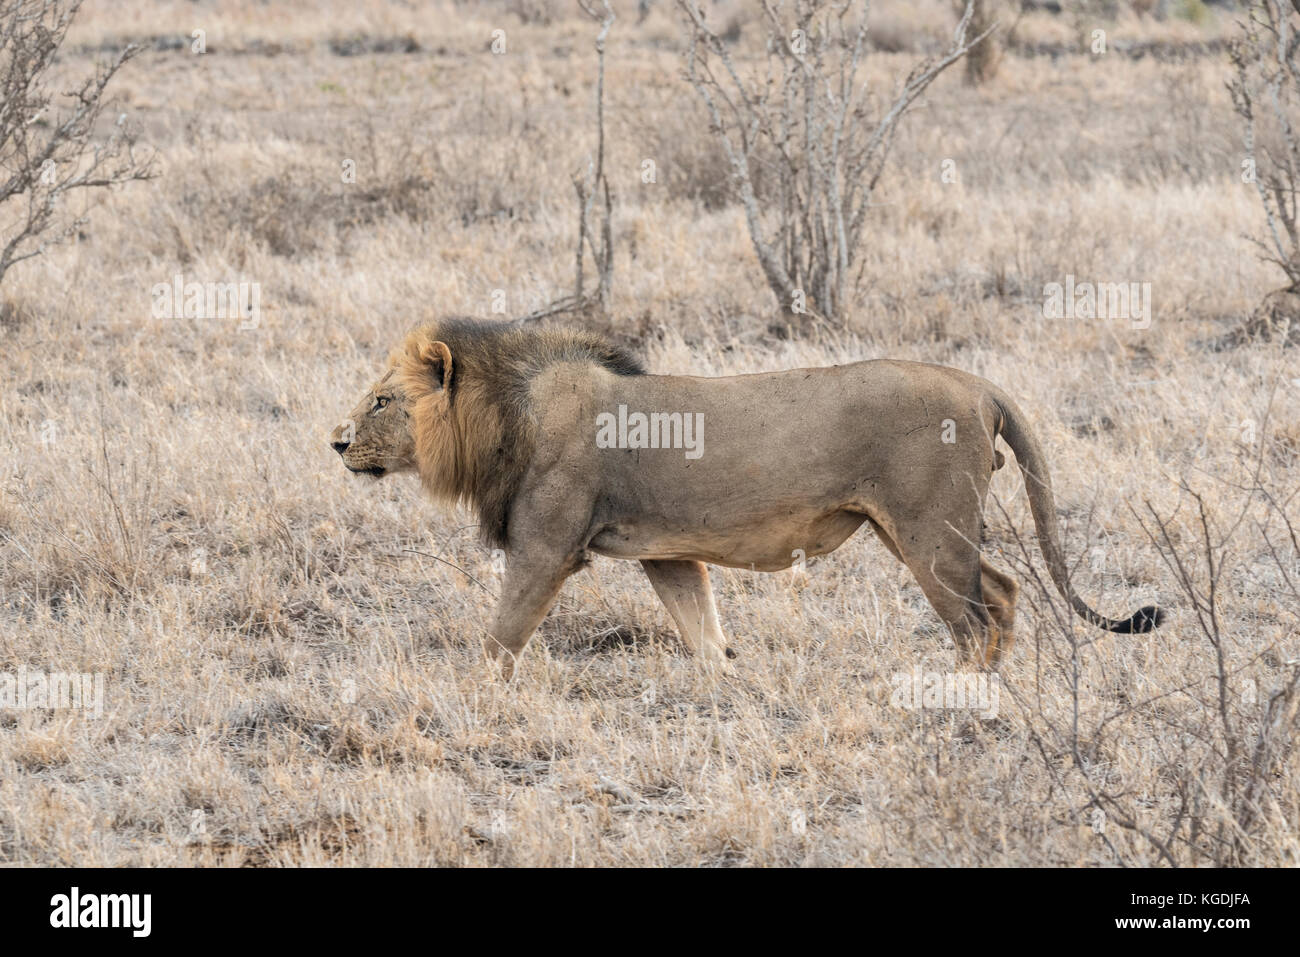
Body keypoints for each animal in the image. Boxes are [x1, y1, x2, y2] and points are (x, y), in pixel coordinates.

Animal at [329, 318, 1164, 679]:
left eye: (381, 401)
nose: (336, 443)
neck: (507, 413)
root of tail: (980, 383)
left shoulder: (546, 548)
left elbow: (501, 637)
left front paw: (472, 693)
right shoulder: (664, 552)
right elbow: (701, 628)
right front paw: (725, 681)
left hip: (930, 530)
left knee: (975, 618)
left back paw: (964, 695)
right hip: (919, 530)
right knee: (1006, 588)